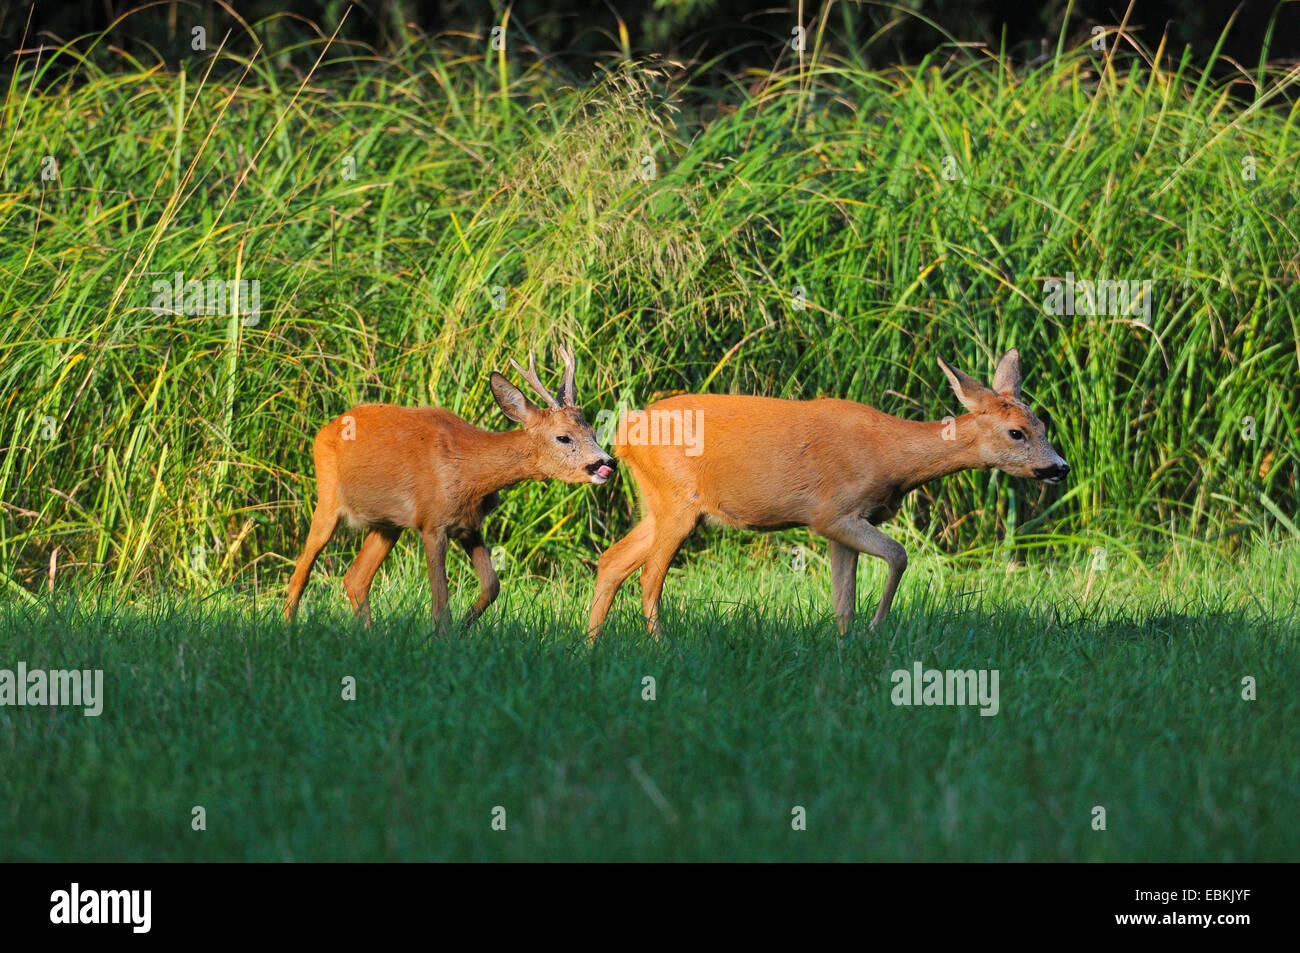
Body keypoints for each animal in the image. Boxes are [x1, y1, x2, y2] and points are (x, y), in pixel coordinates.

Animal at [283, 346, 616, 628]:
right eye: (563, 437)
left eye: (592, 430)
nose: (607, 463)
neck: (470, 471)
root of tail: (324, 430)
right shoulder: (432, 524)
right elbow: (441, 601)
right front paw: (443, 637)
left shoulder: (470, 526)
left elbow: (492, 586)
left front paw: (463, 628)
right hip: (327, 499)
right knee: (302, 570)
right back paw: (288, 629)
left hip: (387, 525)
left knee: (355, 578)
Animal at [586, 348, 1069, 642]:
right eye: (1017, 432)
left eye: (1042, 425)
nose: (1061, 467)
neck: (891, 456)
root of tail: (625, 436)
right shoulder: (832, 513)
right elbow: (898, 557)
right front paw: (875, 630)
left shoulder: (845, 526)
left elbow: (843, 600)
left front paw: (847, 642)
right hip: (678, 502)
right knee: (649, 576)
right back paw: (663, 646)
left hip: (660, 504)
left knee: (613, 560)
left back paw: (591, 644)